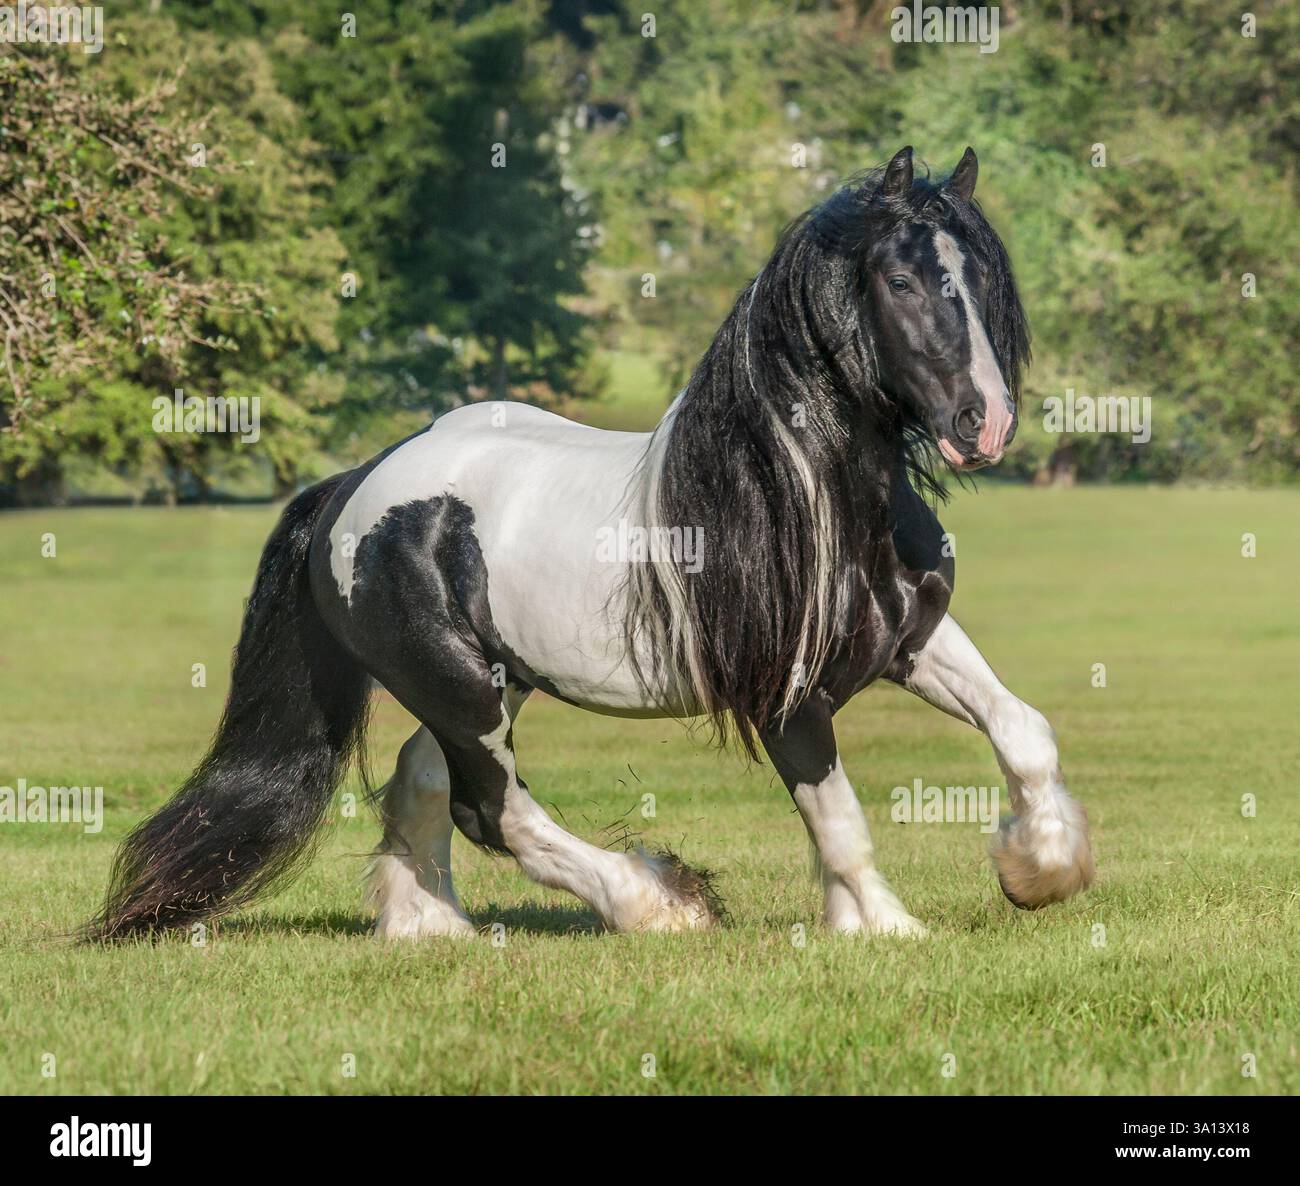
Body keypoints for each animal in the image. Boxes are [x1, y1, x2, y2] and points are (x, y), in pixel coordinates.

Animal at [87, 146, 1094, 942]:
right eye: (902, 281)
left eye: (982, 281)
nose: (984, 422)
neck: (810, 495)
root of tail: (356, 485)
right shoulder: (787, 700)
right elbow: (839, 818)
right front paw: (883, 927)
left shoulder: (911, 642)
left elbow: (1024, 732)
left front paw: (1041, 872)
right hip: (459, 691)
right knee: (496, 812)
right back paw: (656, 902)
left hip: (493, 683)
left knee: (421, 784)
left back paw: (429, 927)